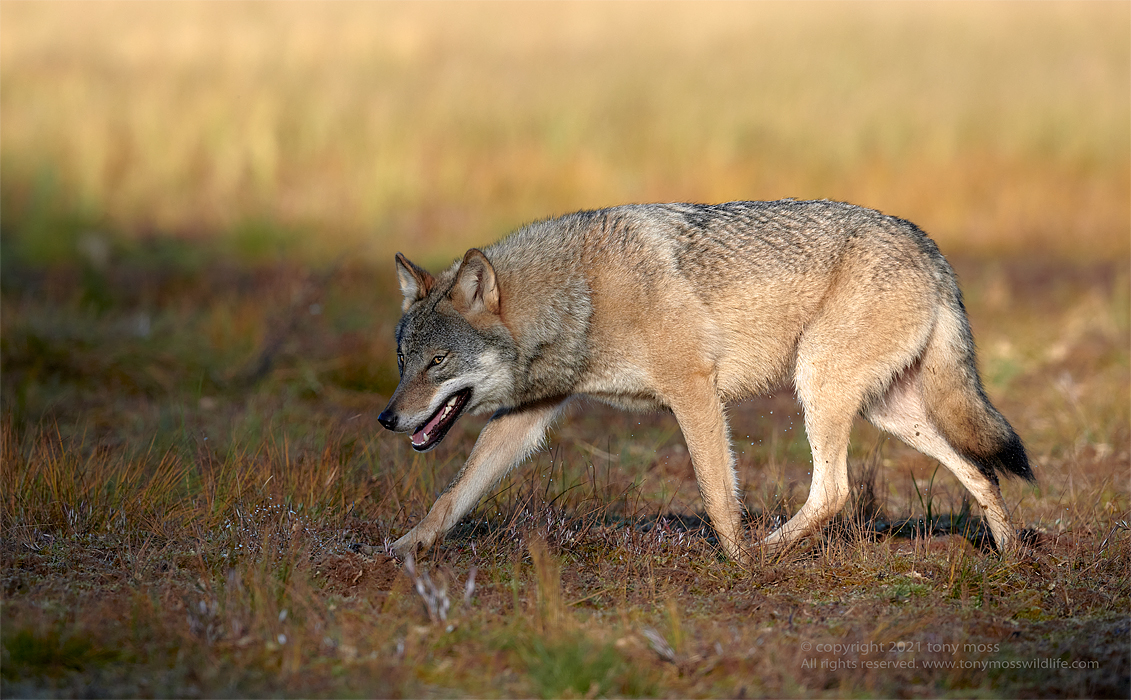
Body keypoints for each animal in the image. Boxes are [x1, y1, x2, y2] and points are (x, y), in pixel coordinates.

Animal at [378, 200, 1033, 562]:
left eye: (438, 362)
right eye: (404, 360)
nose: (387, 418)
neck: (582, 294)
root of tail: (928, 243)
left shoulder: (694, 390)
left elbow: (718, 495)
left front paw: (735, 560)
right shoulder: (526, 418)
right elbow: (452, 496)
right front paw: (401, 549)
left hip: (820, 387)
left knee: (835, 491)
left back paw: (764, 555)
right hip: (887, 411)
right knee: (980, 471)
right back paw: (1011, 556)